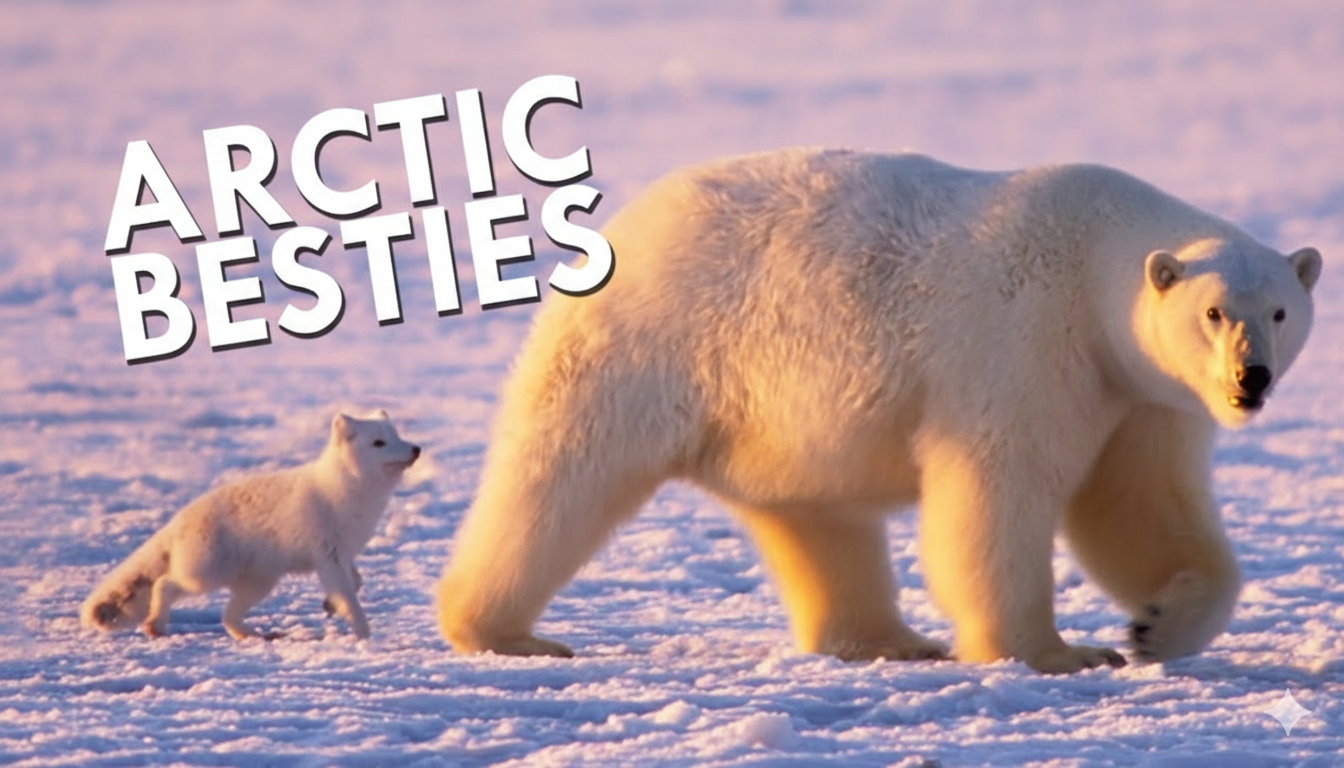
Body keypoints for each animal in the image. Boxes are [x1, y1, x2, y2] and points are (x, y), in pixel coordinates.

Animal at [81, 410, 420, 641]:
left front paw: (330, 606)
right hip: (206, 574)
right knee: (165, 584)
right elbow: (350, 597)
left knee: (227, 617)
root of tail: (179, 519)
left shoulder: (344, 554)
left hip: (259, 582)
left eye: (397, 435)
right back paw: (155, 625)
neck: (347, 493)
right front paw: (364, 635)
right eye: (379, 443)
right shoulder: (328, 556)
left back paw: (258, 636)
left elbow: (356, 583)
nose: (416, 449)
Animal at [436, 149, 1321, 673]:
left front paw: (1156, 625)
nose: (1250, 379)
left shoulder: (1142, 394)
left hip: (777, 417)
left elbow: (1138, 505)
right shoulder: (1026, 341)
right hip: (654, 343)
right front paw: (1056, 653)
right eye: (1214, 312)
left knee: (819, 518)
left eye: (1280, 310)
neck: (1094, 257)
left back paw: (889, 640)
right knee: (564, 474)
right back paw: (503, 630)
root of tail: (627, 221)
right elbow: (998, 492)